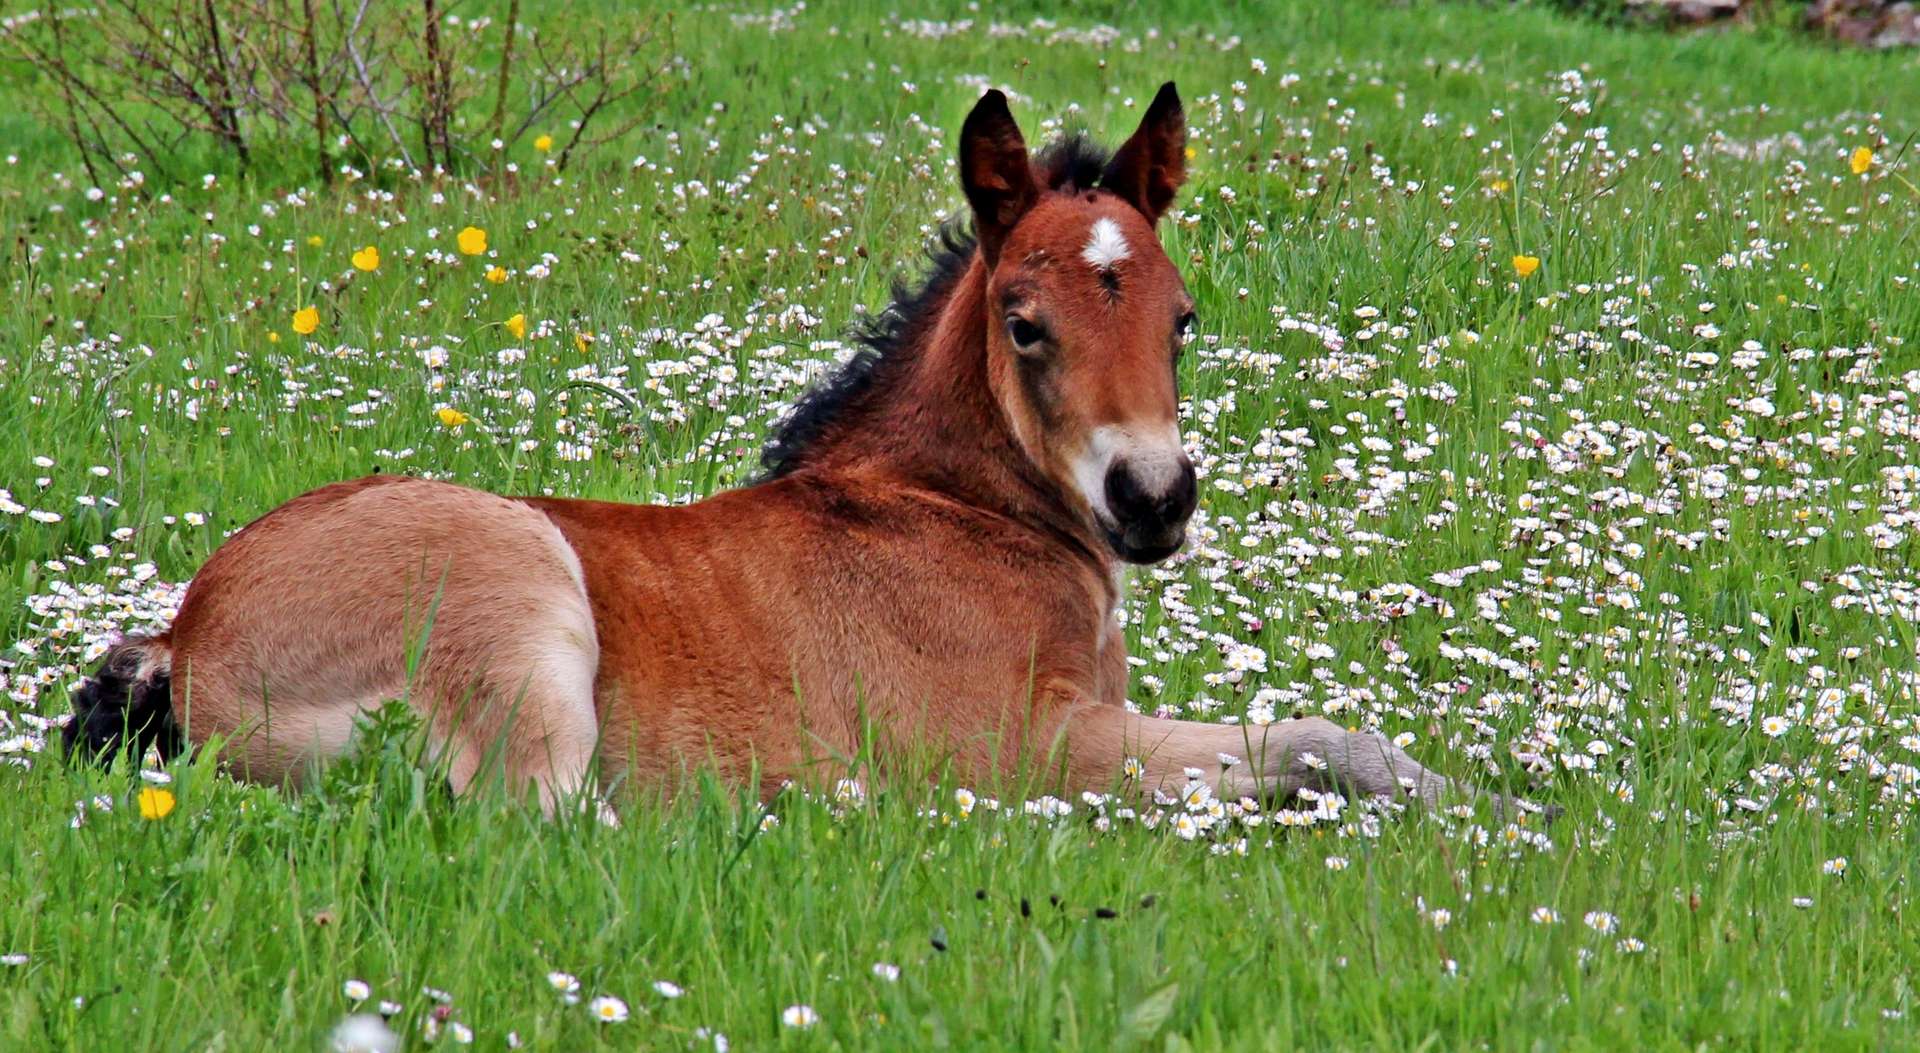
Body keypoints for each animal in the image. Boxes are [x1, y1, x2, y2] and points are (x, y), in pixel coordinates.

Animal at [67, 84, 1524, 822]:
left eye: (1183, 318)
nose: (1154, 501)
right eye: (1026, 322)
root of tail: (185, 636)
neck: (950, 514)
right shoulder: (1033, 741)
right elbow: (1310, 740)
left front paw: (1493, 795)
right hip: (518, 589)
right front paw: (1485, 811)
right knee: (552, 825)